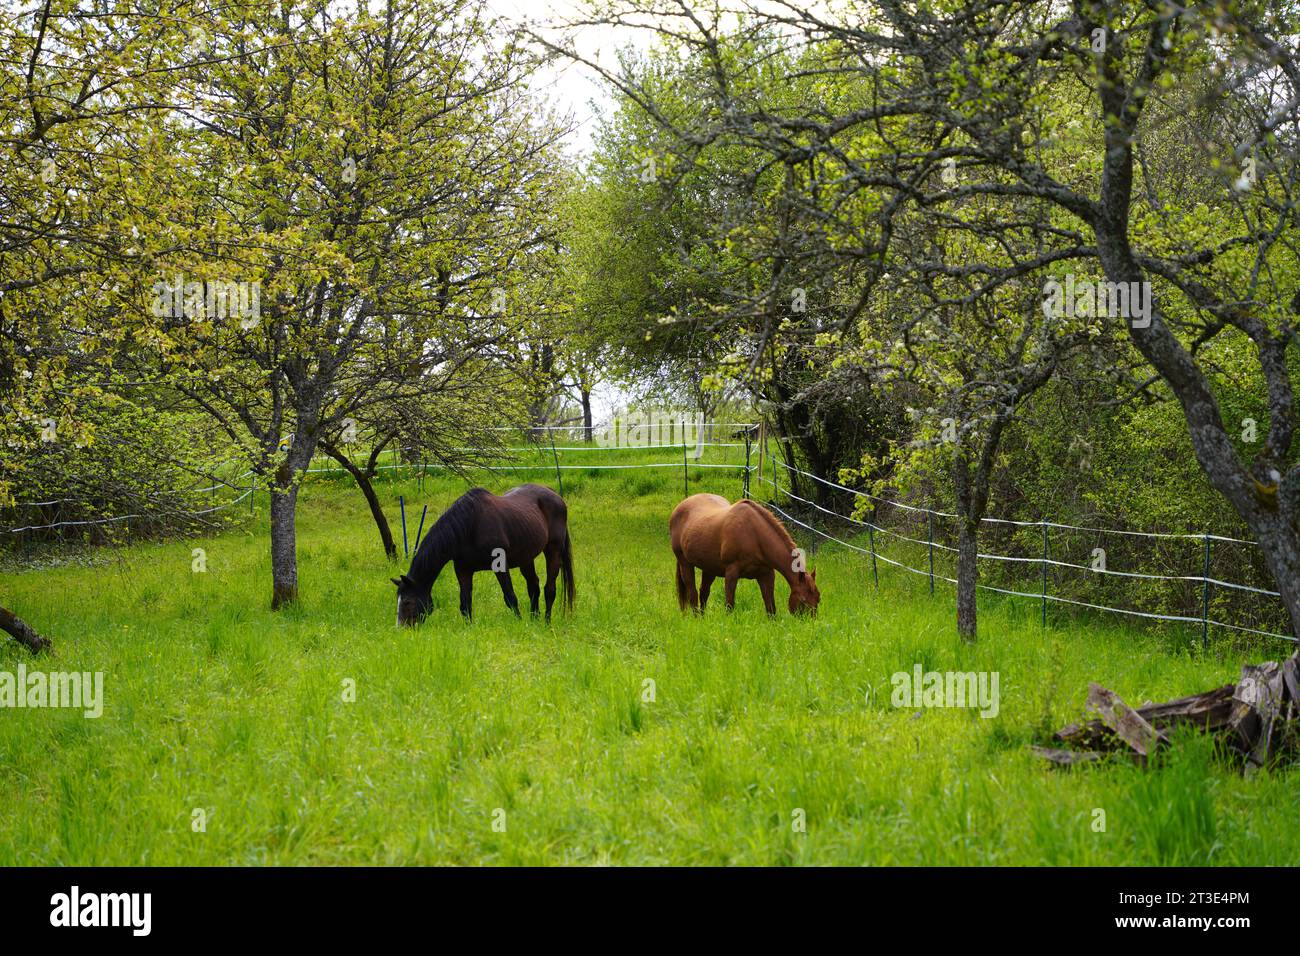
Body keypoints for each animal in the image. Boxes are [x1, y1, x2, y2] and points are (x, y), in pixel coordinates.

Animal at [392, 483, 574, 625]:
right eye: (398, 600)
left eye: (407, 601)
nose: (401, 629)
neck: (469, 525)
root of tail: (554, 493)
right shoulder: (463, 570)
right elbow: (465, 603)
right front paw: (469, 628)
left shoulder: (500, 566)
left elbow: (510, 597)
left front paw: (519, 622)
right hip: (526, 558)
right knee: (534, 587)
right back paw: (534, 619)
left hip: (553, 550)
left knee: (549, 589)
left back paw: (546, 622)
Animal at [669, 493, 820, 616]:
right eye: (803, 600)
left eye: (818, 598)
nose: (809, 623)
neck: (754, 534)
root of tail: (680, 507)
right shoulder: (731, 573)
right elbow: (729, 605)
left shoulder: (766, 575)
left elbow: (771, 608)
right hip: (685, 563)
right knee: (692, 593)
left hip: (709, 568)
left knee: (703, 592)